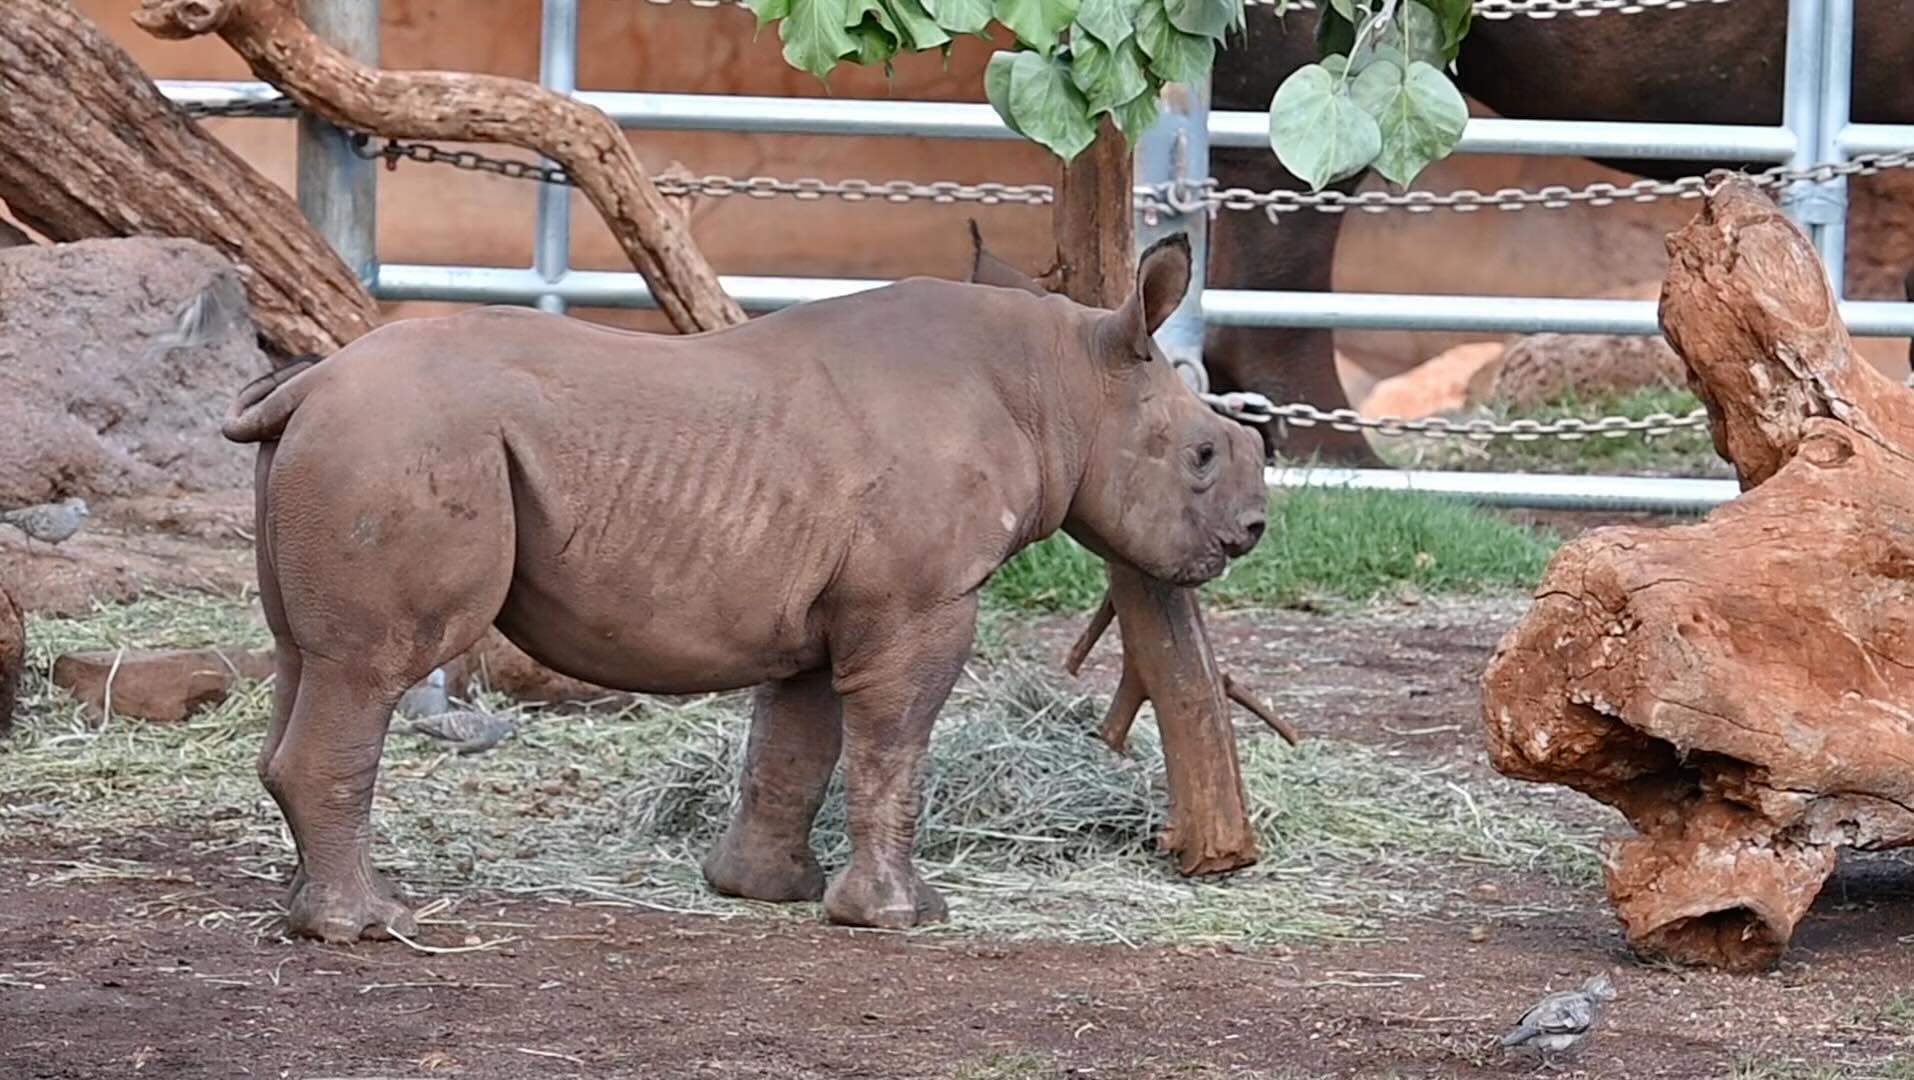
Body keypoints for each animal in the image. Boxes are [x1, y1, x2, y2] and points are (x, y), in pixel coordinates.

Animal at [224, 227, 1269, 943]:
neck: (1065, 383)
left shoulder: (827, 605)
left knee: (305, 658)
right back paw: (370, 926)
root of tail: (308, 388)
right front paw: (900, 916)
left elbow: (794, 746)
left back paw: (318, 912)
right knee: (373, 669)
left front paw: (765, 891)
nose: (1253, 531)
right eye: (1203, 454)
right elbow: (895, 742)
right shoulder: (916, 601)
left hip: (349, 442)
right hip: (404, 439)